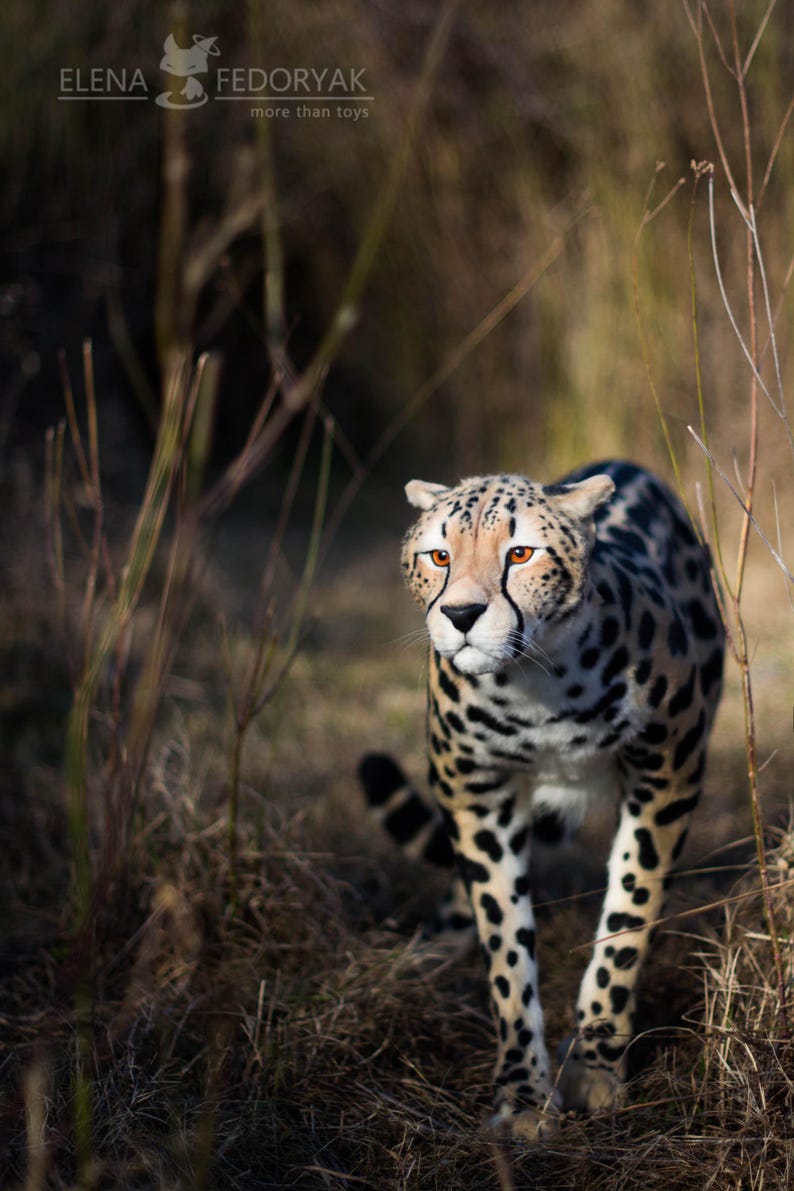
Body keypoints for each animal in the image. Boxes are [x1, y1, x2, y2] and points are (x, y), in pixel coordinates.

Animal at [359, 460, 724, 1138]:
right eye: (439, 555)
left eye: (520, 553)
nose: (462, 615)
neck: (539, 682)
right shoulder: (475, 793)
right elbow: (505, 944)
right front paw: (524, 1095)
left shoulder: (667, 777)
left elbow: (627, 921)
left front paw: (594, 1068)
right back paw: (435, 947)